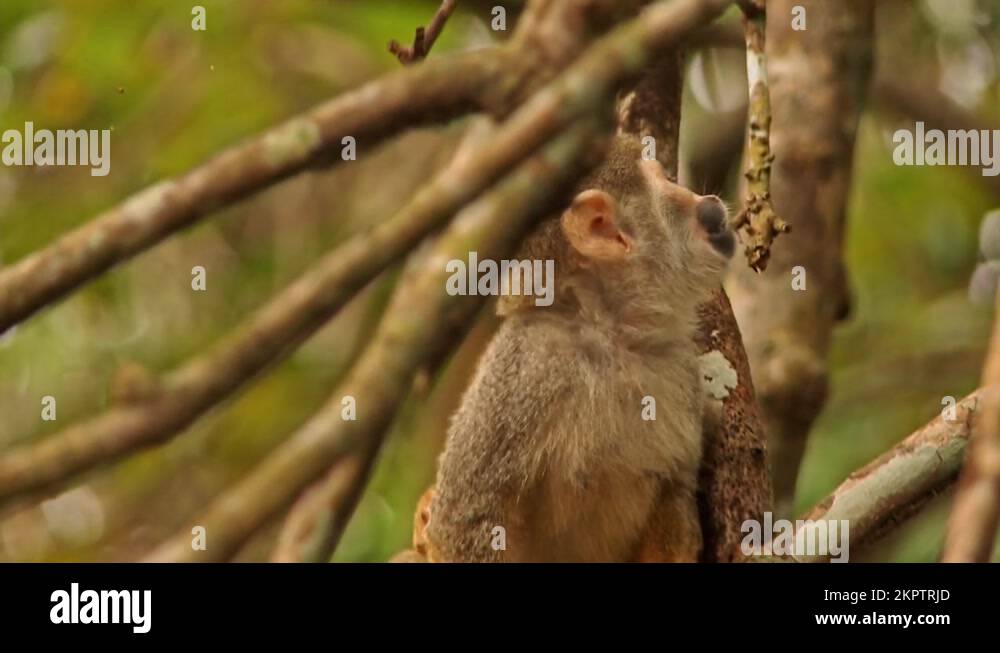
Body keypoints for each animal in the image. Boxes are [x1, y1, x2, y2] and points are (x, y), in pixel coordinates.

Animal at [406, 135, 735, 562]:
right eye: (666, 185)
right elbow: (466, 517)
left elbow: (674, 495)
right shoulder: (524, 365)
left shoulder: (679, 372)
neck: (611, 337)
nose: (706, 201)